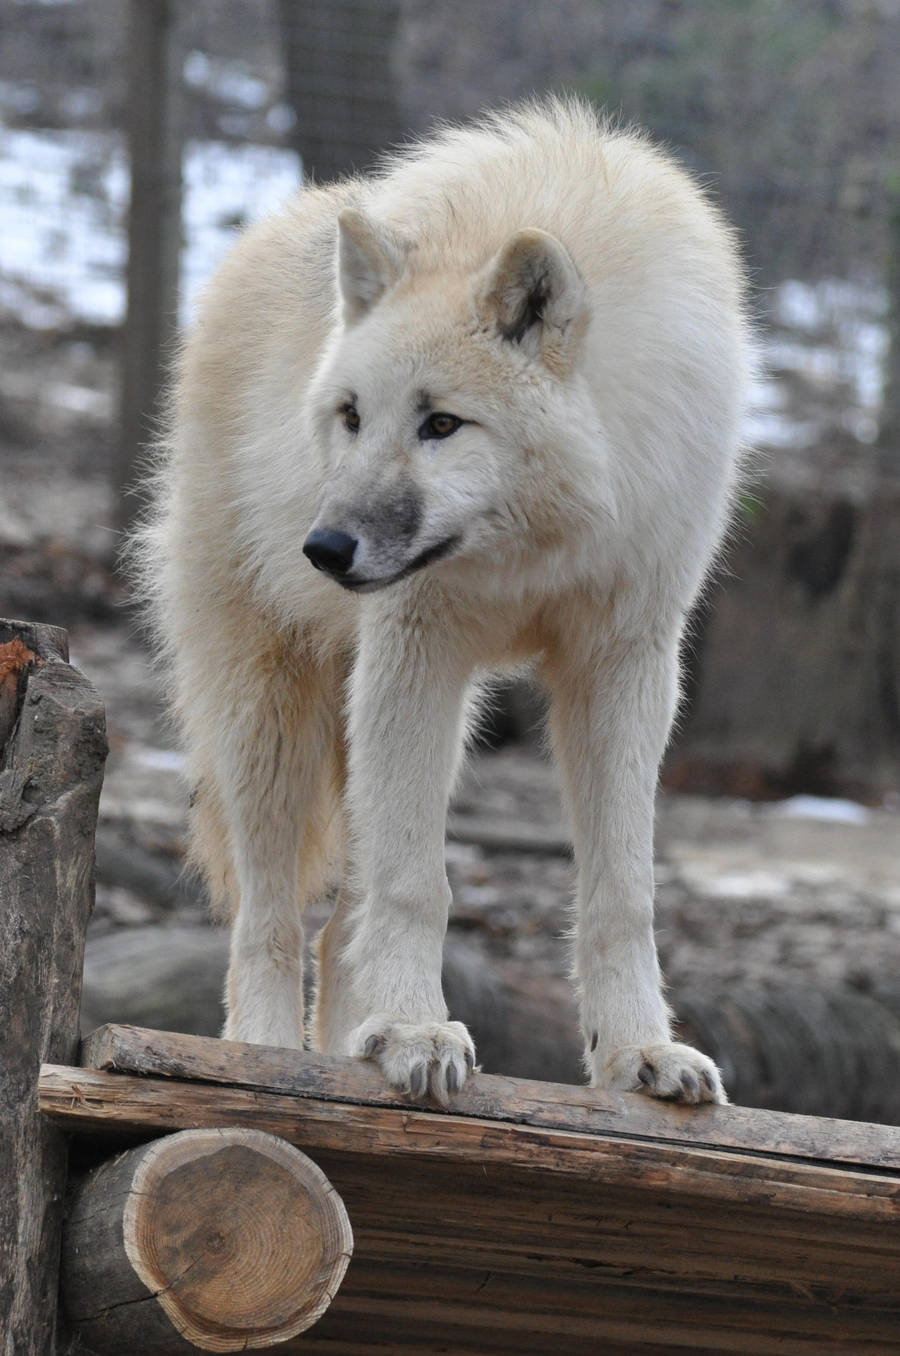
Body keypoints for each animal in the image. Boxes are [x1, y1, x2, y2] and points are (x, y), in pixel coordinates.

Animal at [138, 97, 753, 1106]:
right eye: (353, 416)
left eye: (441, 424)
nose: (325, 548)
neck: (540, 542)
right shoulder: (415, 653)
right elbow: (417, 886)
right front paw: (421, 1033)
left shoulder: (625, 667)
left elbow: (623, 894)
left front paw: (639, 1056)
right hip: (276, 715)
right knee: (268, 920)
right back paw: (266, 1059)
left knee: (336, 932)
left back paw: (350, 1045)